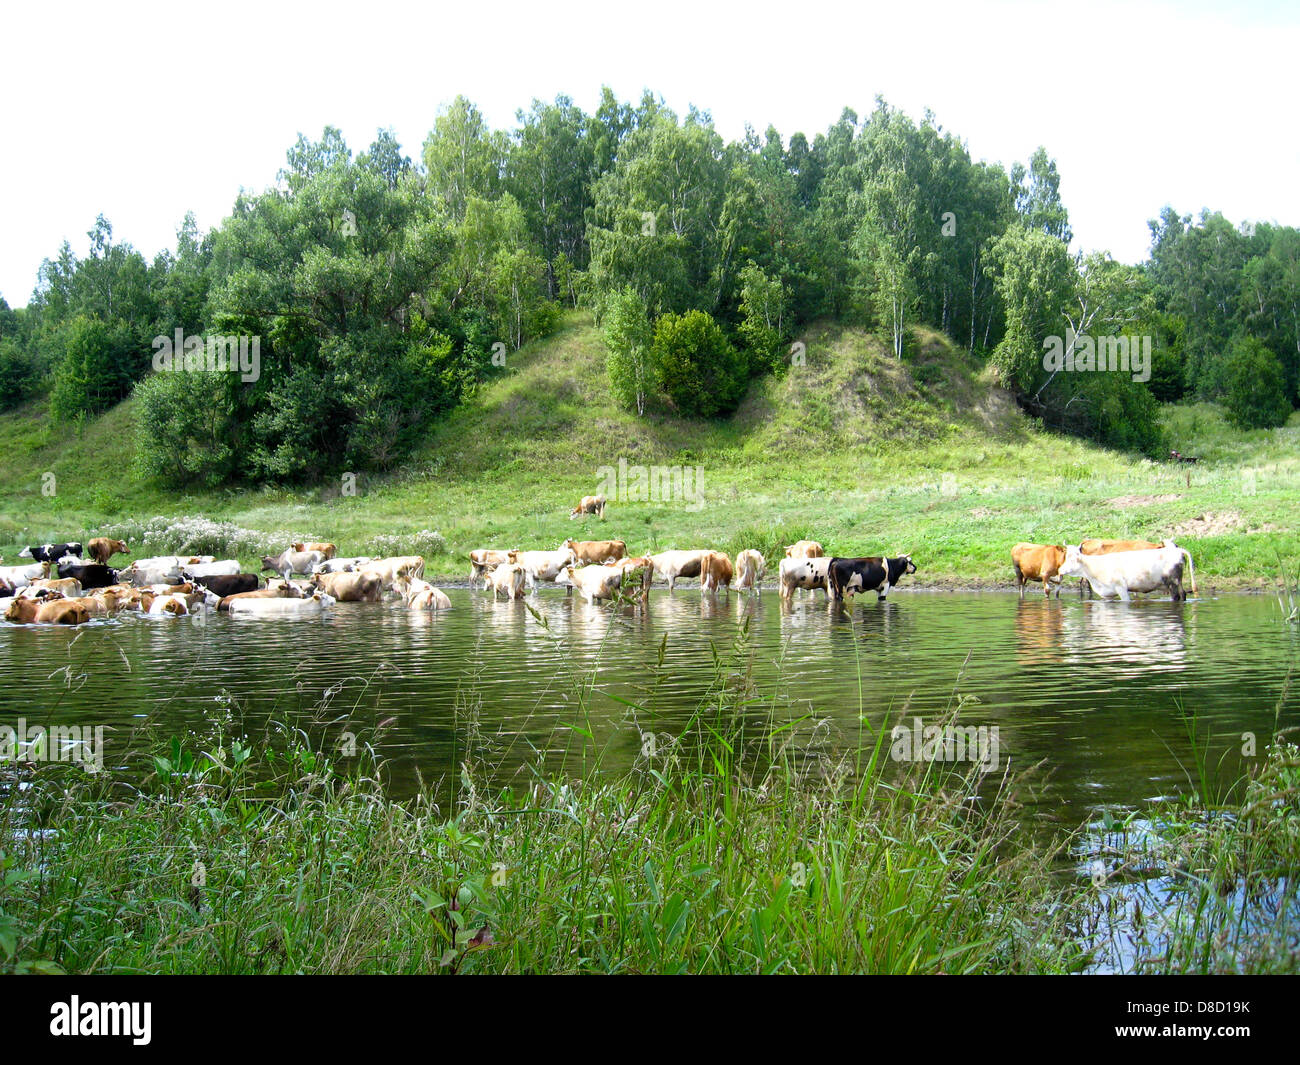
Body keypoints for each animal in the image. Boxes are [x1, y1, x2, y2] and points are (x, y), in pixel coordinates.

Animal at [1058, 544, 1197, 601]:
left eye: (1071, 559)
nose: (1060, 570)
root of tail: (1177, 550)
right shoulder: (1107, 594)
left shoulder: (1121, 588)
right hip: (1178, 581)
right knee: (1183, 594)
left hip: (1172, 582)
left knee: (1176, 596)